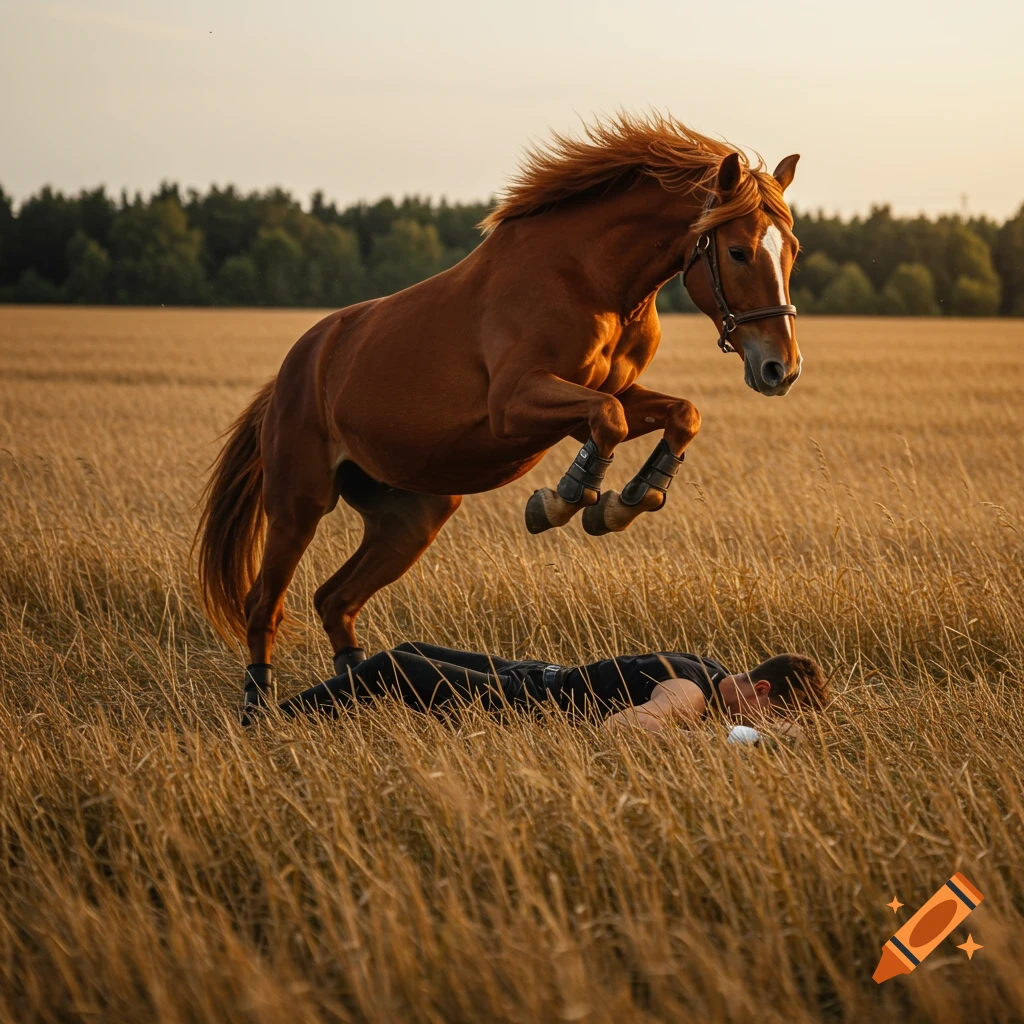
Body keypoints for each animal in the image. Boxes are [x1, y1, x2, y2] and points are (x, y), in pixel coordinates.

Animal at [195, 113, 803, 711]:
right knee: (264, 604)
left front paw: (627, 499)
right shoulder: (514, 405)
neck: (589, 279)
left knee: (335, 600)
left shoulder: (608, 396)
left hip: (410, 518)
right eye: (738, 251)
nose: (781, 368)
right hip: (298, 505)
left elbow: (679, 414)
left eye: (792, 250)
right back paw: (257, 707)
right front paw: (563, 500)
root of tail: (292, 371)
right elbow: (608, 418)